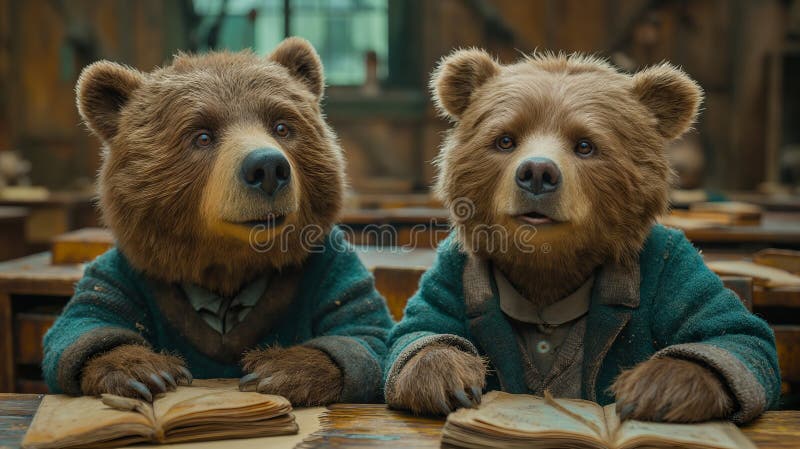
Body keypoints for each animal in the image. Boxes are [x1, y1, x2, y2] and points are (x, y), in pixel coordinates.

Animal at [42, 38, 394, 406]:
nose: (268, 168)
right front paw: (144, 371)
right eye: (201, 135)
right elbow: (84, 323)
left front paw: (279, 369)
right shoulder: (127, 272)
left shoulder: (332, 269)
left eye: (282, 126)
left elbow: (363, 331)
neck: (228, 264)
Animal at [383, 49, 781, 424]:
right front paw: (448, 379)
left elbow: (733, 332)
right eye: (505, 139)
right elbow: (420, 330)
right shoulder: (451, 273)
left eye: (585, 144)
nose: (537, 172)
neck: (549, 266)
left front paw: (656, 388)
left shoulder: (672, 264)